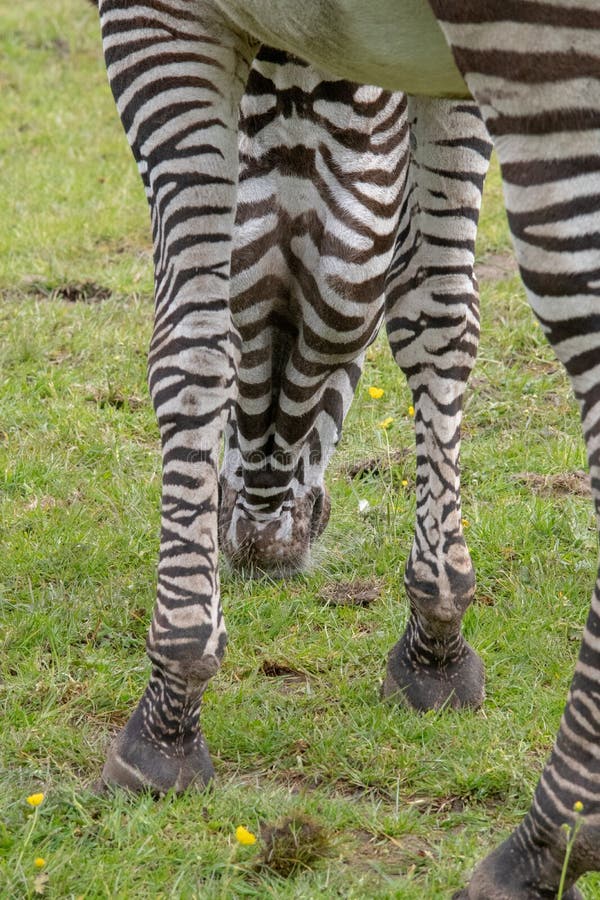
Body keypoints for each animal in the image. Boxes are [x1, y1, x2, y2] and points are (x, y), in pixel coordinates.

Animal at [97, 1, 600, 897]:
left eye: (336, 359)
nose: (261, 548)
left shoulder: (154, 23)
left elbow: (187, 339)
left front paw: (166, 724)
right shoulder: (452, 89)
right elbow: (440, 311)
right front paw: (437, 643)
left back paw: (546, 843)